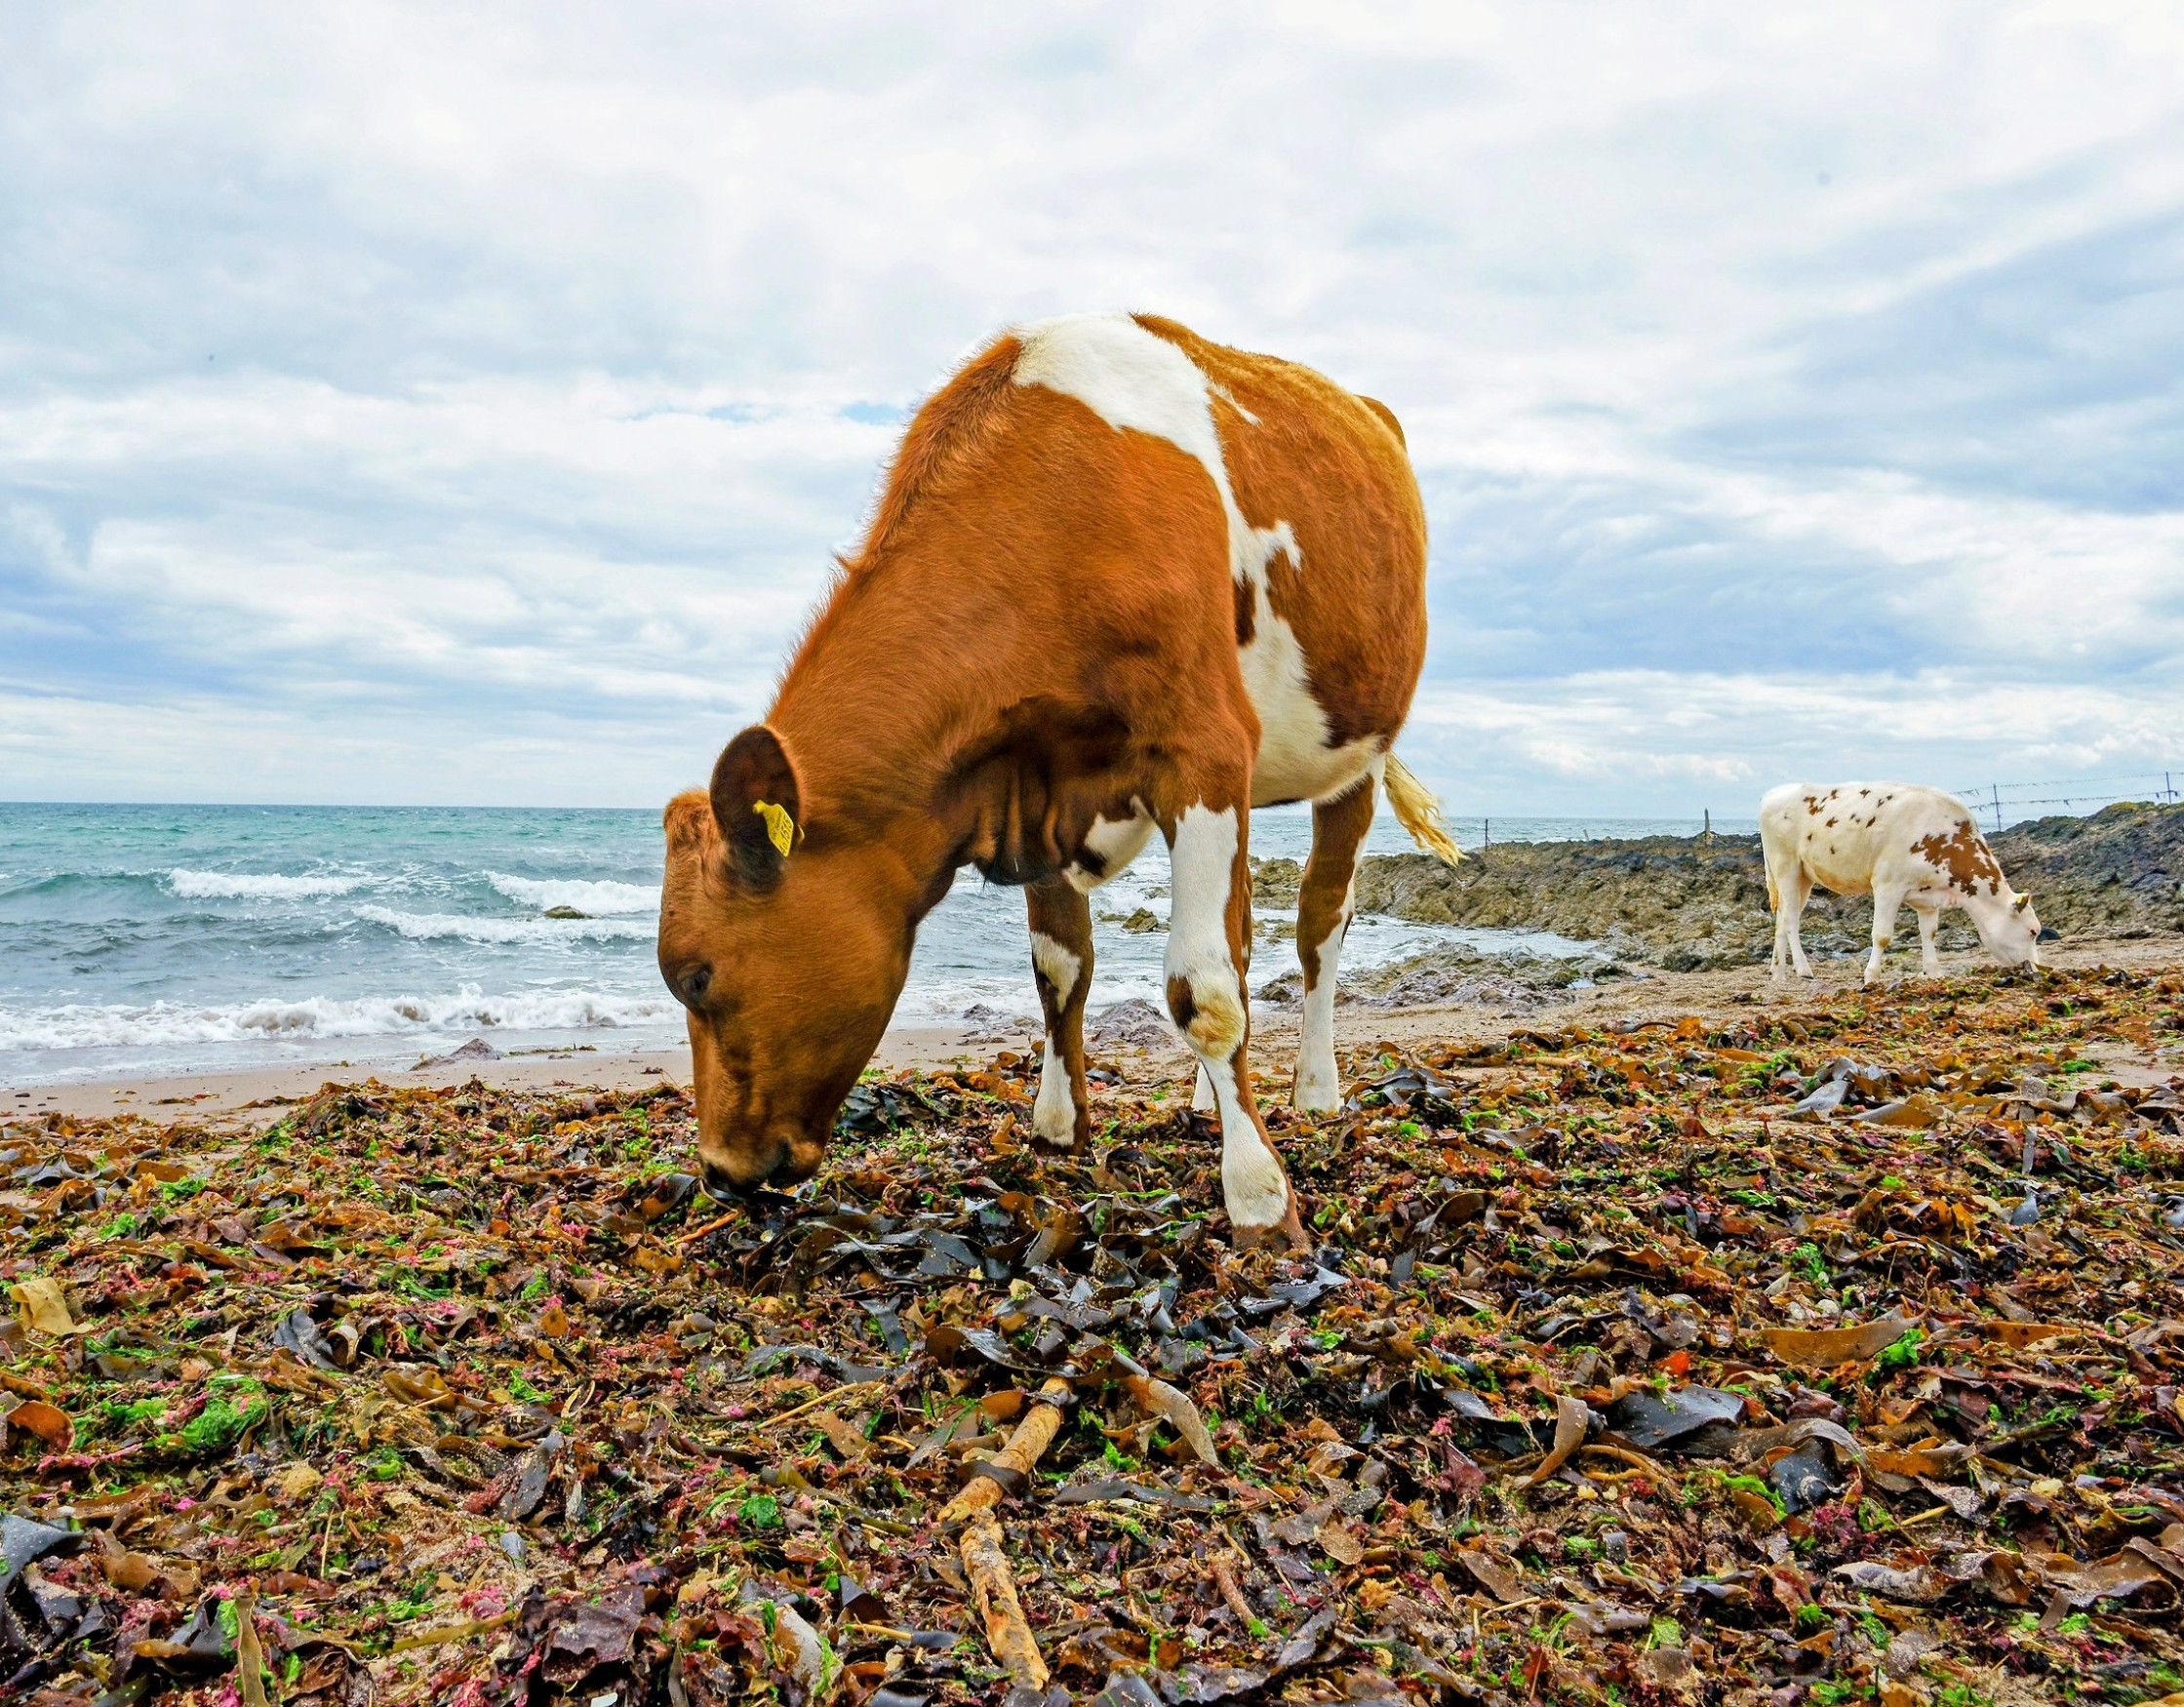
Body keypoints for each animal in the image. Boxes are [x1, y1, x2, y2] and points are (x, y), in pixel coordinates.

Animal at [656, 311, 1461, 1251]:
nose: (720, 1173)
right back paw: (1206, 1102)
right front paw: (1058, 1126)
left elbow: (1202, 992)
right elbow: (1060, 967)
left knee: (1319, 927)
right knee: (1243, 936)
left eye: (697, 977)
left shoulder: (1203, 748)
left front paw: (1258, 1196)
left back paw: (1313, 1091)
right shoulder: (1030, 782)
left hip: (1352, 757)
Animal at [1759, 782, 2057, 986]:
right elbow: (1882, 935)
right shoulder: (1887, 884)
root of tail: (1774, 793)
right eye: (2033, 931)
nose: (2037, 969)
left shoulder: (1929, 897)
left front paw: (1933, 971)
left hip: (1804, 876)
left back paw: (1778, 972)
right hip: (1787, 866)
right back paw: (1803, 969)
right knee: (1790, 920)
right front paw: (1872, 975)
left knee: (1783, 917)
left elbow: (1929, 933)